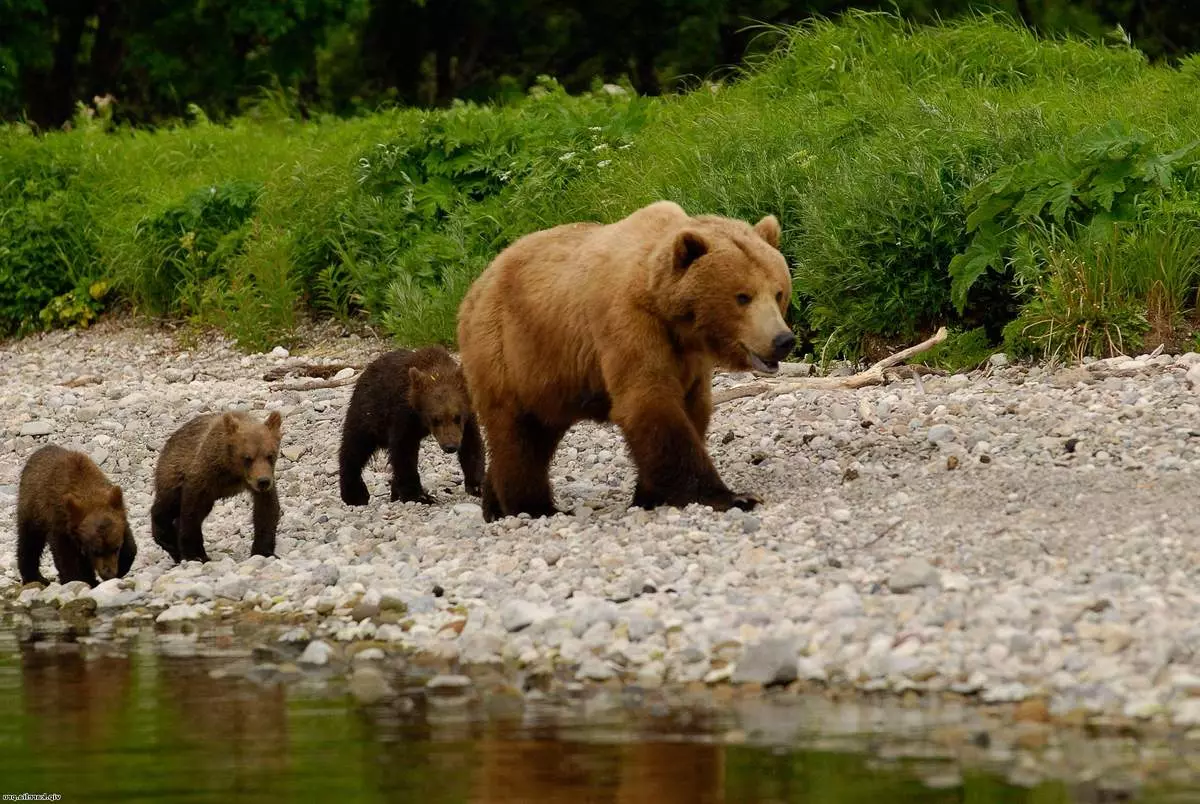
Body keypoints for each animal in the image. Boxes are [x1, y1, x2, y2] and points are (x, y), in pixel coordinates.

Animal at [453, 202, 792, 523]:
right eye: (743, 296)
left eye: (778, 292)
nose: (782, 340)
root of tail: (475, 288)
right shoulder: (628, 324)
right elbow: (648, 402)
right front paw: (732, 496)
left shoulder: (690, 358)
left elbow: (692, 407)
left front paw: (649, 494)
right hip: (508, 350)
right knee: (519, 434)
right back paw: (534, 507)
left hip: (546, 377)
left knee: (536, 432)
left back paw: (494, 505)